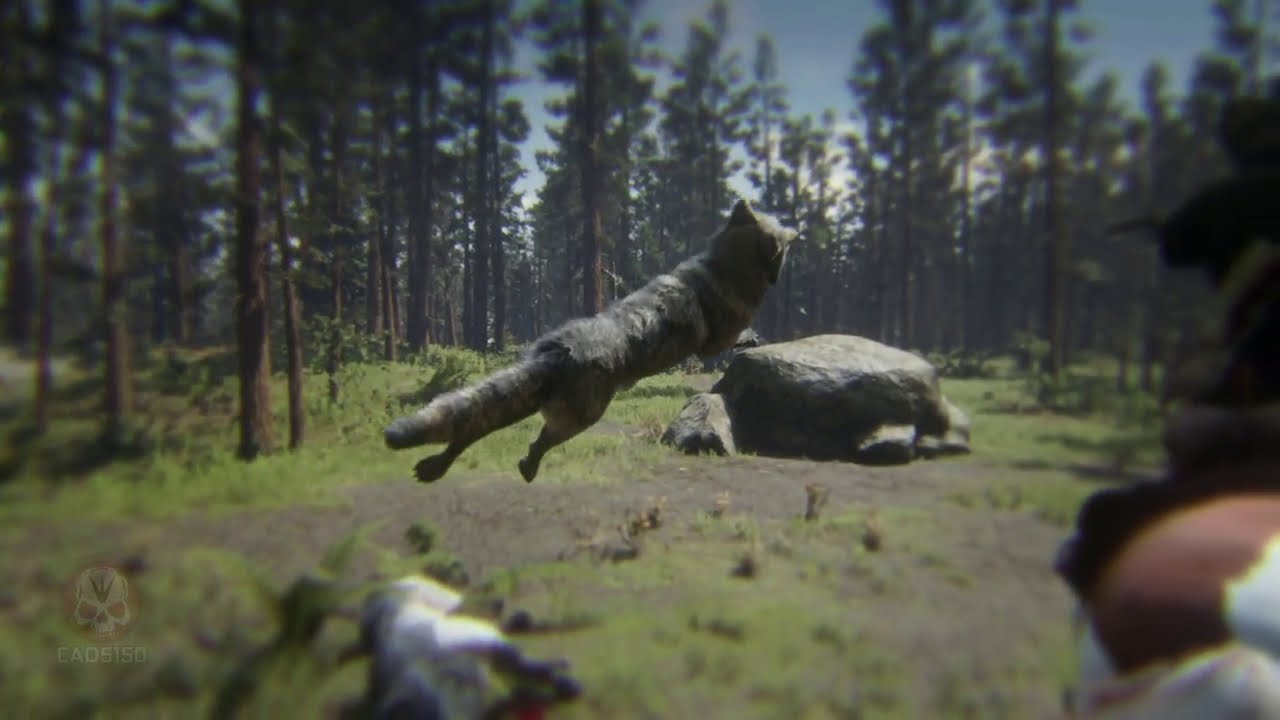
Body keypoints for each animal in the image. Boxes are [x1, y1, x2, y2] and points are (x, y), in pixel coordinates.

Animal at [385, 199, 799, 484]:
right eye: (784, 254)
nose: (779, 277)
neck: (722, 267)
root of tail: (559, 352)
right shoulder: (717, 341)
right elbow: (741, 337)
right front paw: (754, 337)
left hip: (528, 400)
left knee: (477, 426)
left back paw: (439, 468)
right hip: (581, 415)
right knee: (532, 440)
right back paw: (519, 467)